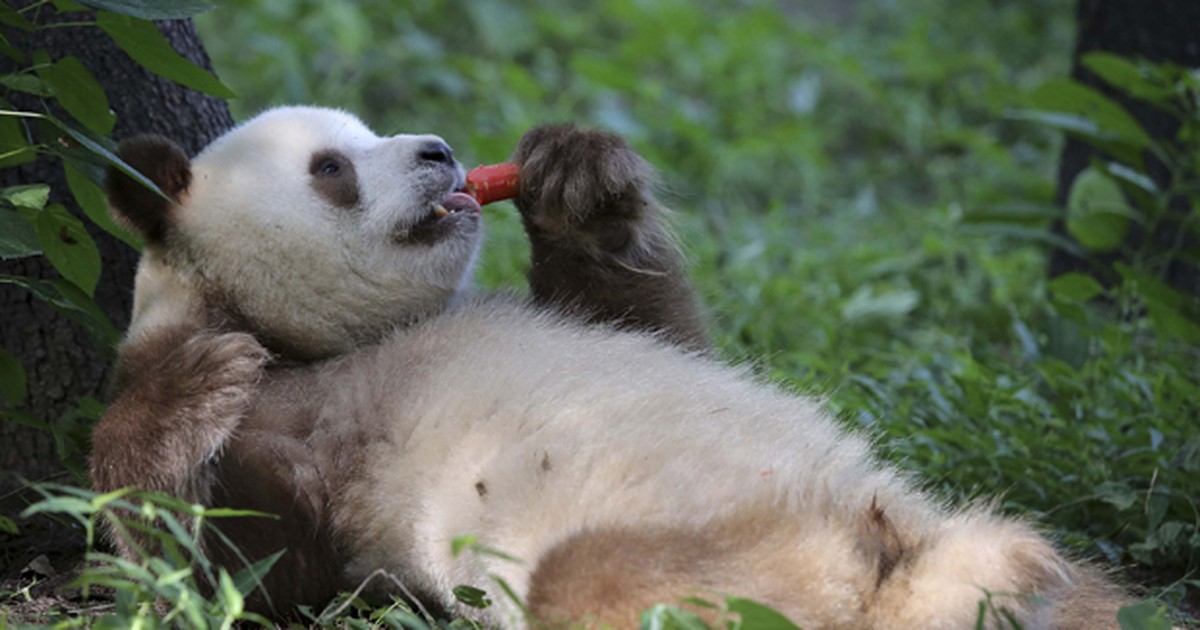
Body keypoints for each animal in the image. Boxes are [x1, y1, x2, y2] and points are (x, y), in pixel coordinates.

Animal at [90, 106, 1125, 629]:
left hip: (975, 537)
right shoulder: (302, 443)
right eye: (331, 169)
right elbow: (238, 566)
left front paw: (575, 178)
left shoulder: (603, 319)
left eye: (371, 128)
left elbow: (649, 321)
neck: (332, 339)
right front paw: (203, 383)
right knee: (608, 587)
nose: (441, 152)